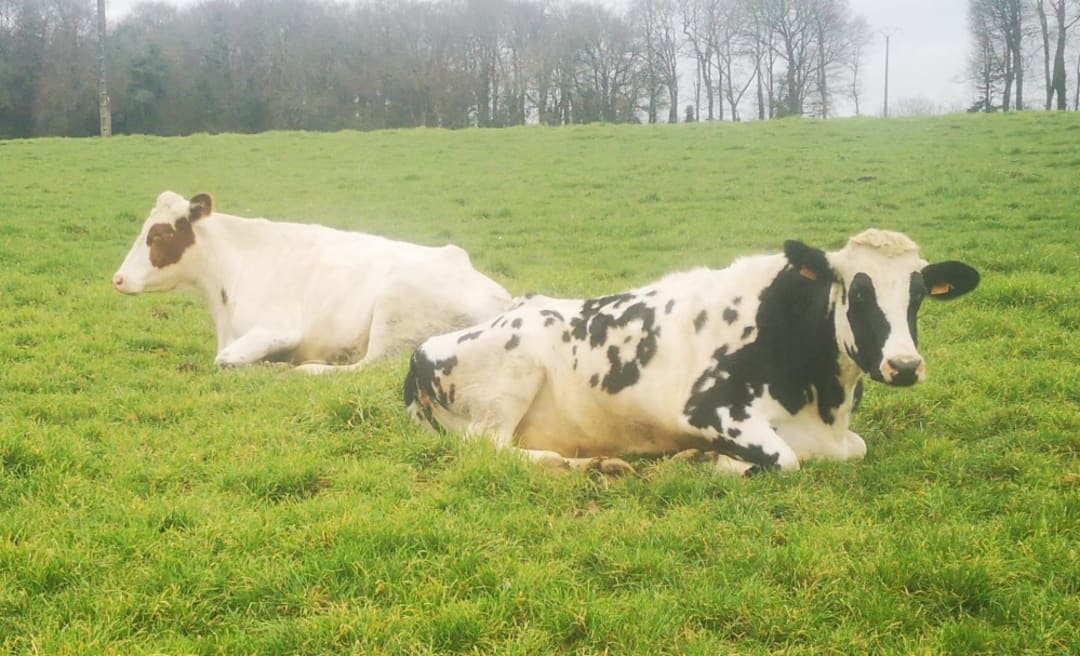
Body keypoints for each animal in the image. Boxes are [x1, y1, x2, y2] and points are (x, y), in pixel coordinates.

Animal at [113, 191, 512, 372]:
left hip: (393, 309)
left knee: (363, 366)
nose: (118, 279)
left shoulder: (280, 329)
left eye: (159, 235)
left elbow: (225, 359)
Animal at [403, 229, 979, 475]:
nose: (904, 366)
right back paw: (576, 465)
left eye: (918, 295)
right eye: (857, 292)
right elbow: (785, 459)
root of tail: (421, 351)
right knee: (487, 447)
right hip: (512, 375)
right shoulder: (708, 409)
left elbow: (856, 448)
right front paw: (705, 461)